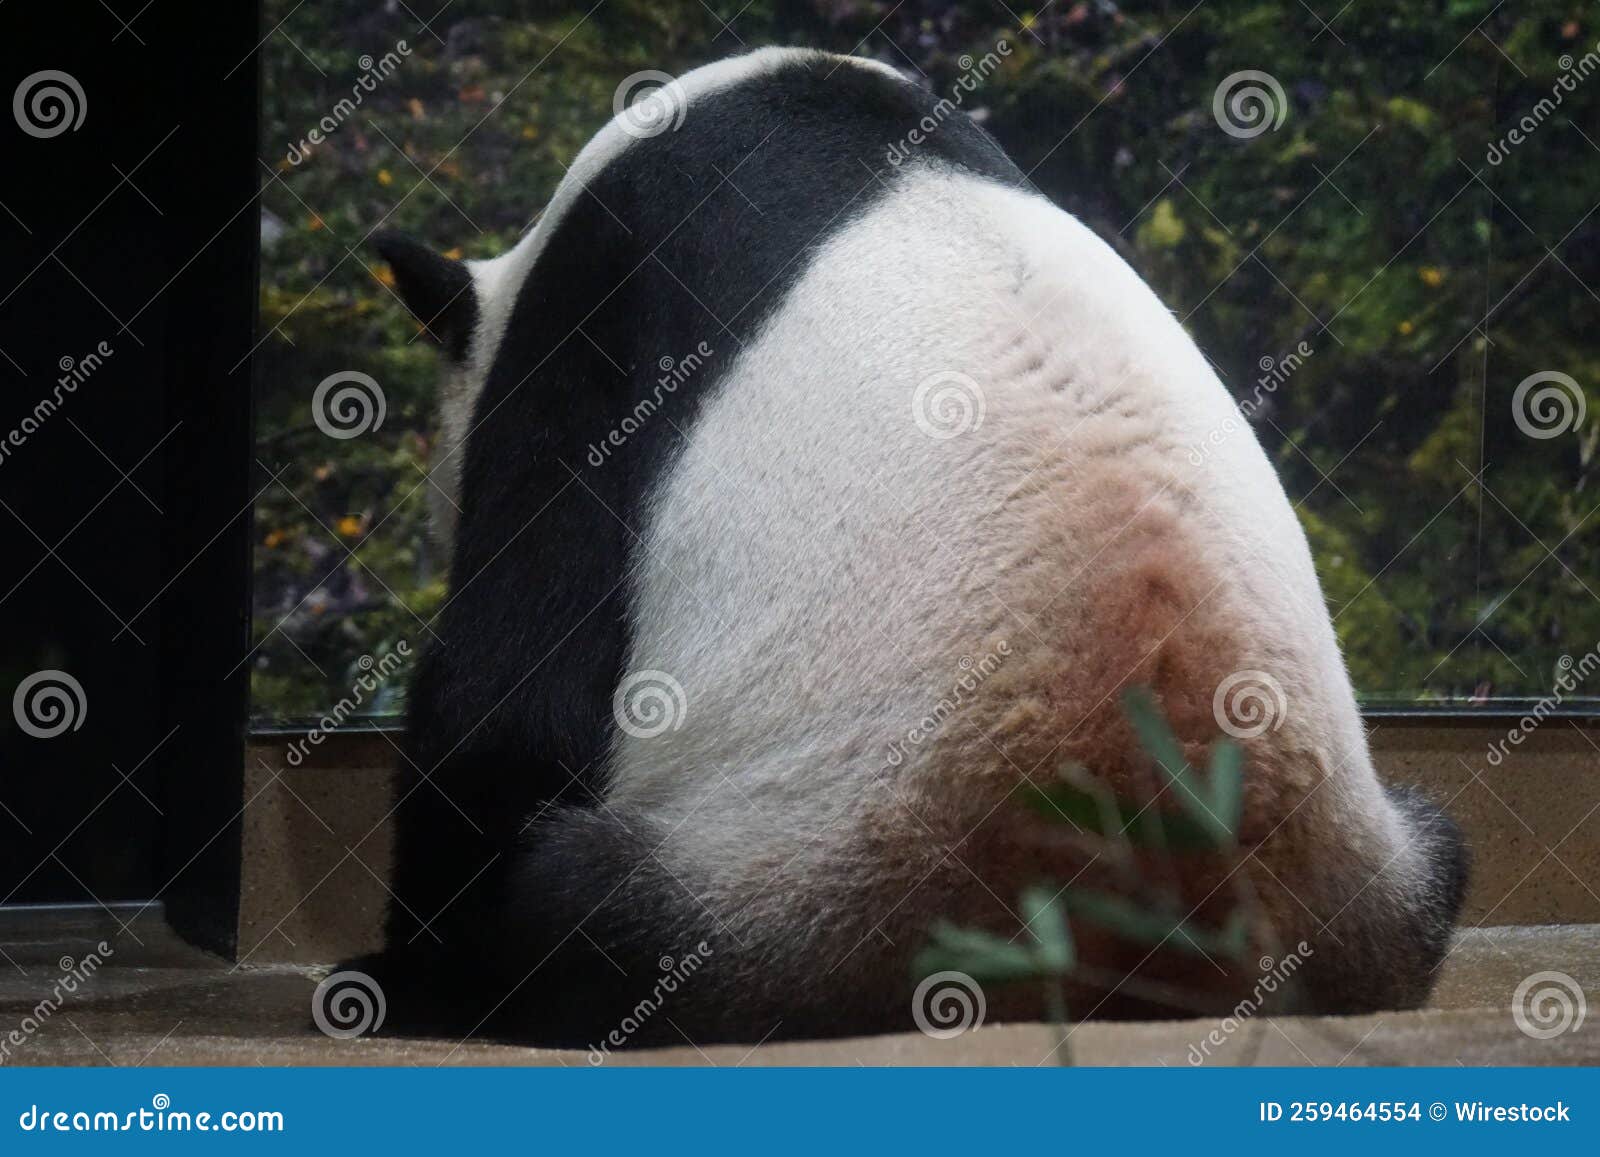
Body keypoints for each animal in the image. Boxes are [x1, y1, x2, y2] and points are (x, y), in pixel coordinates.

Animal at [353, 47, 1467, 1047]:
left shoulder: (602, 310)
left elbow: (510, 686)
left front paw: (403, 970)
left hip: (795, 864)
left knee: (579, 907)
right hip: (1357, 857)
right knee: (1443, 843)